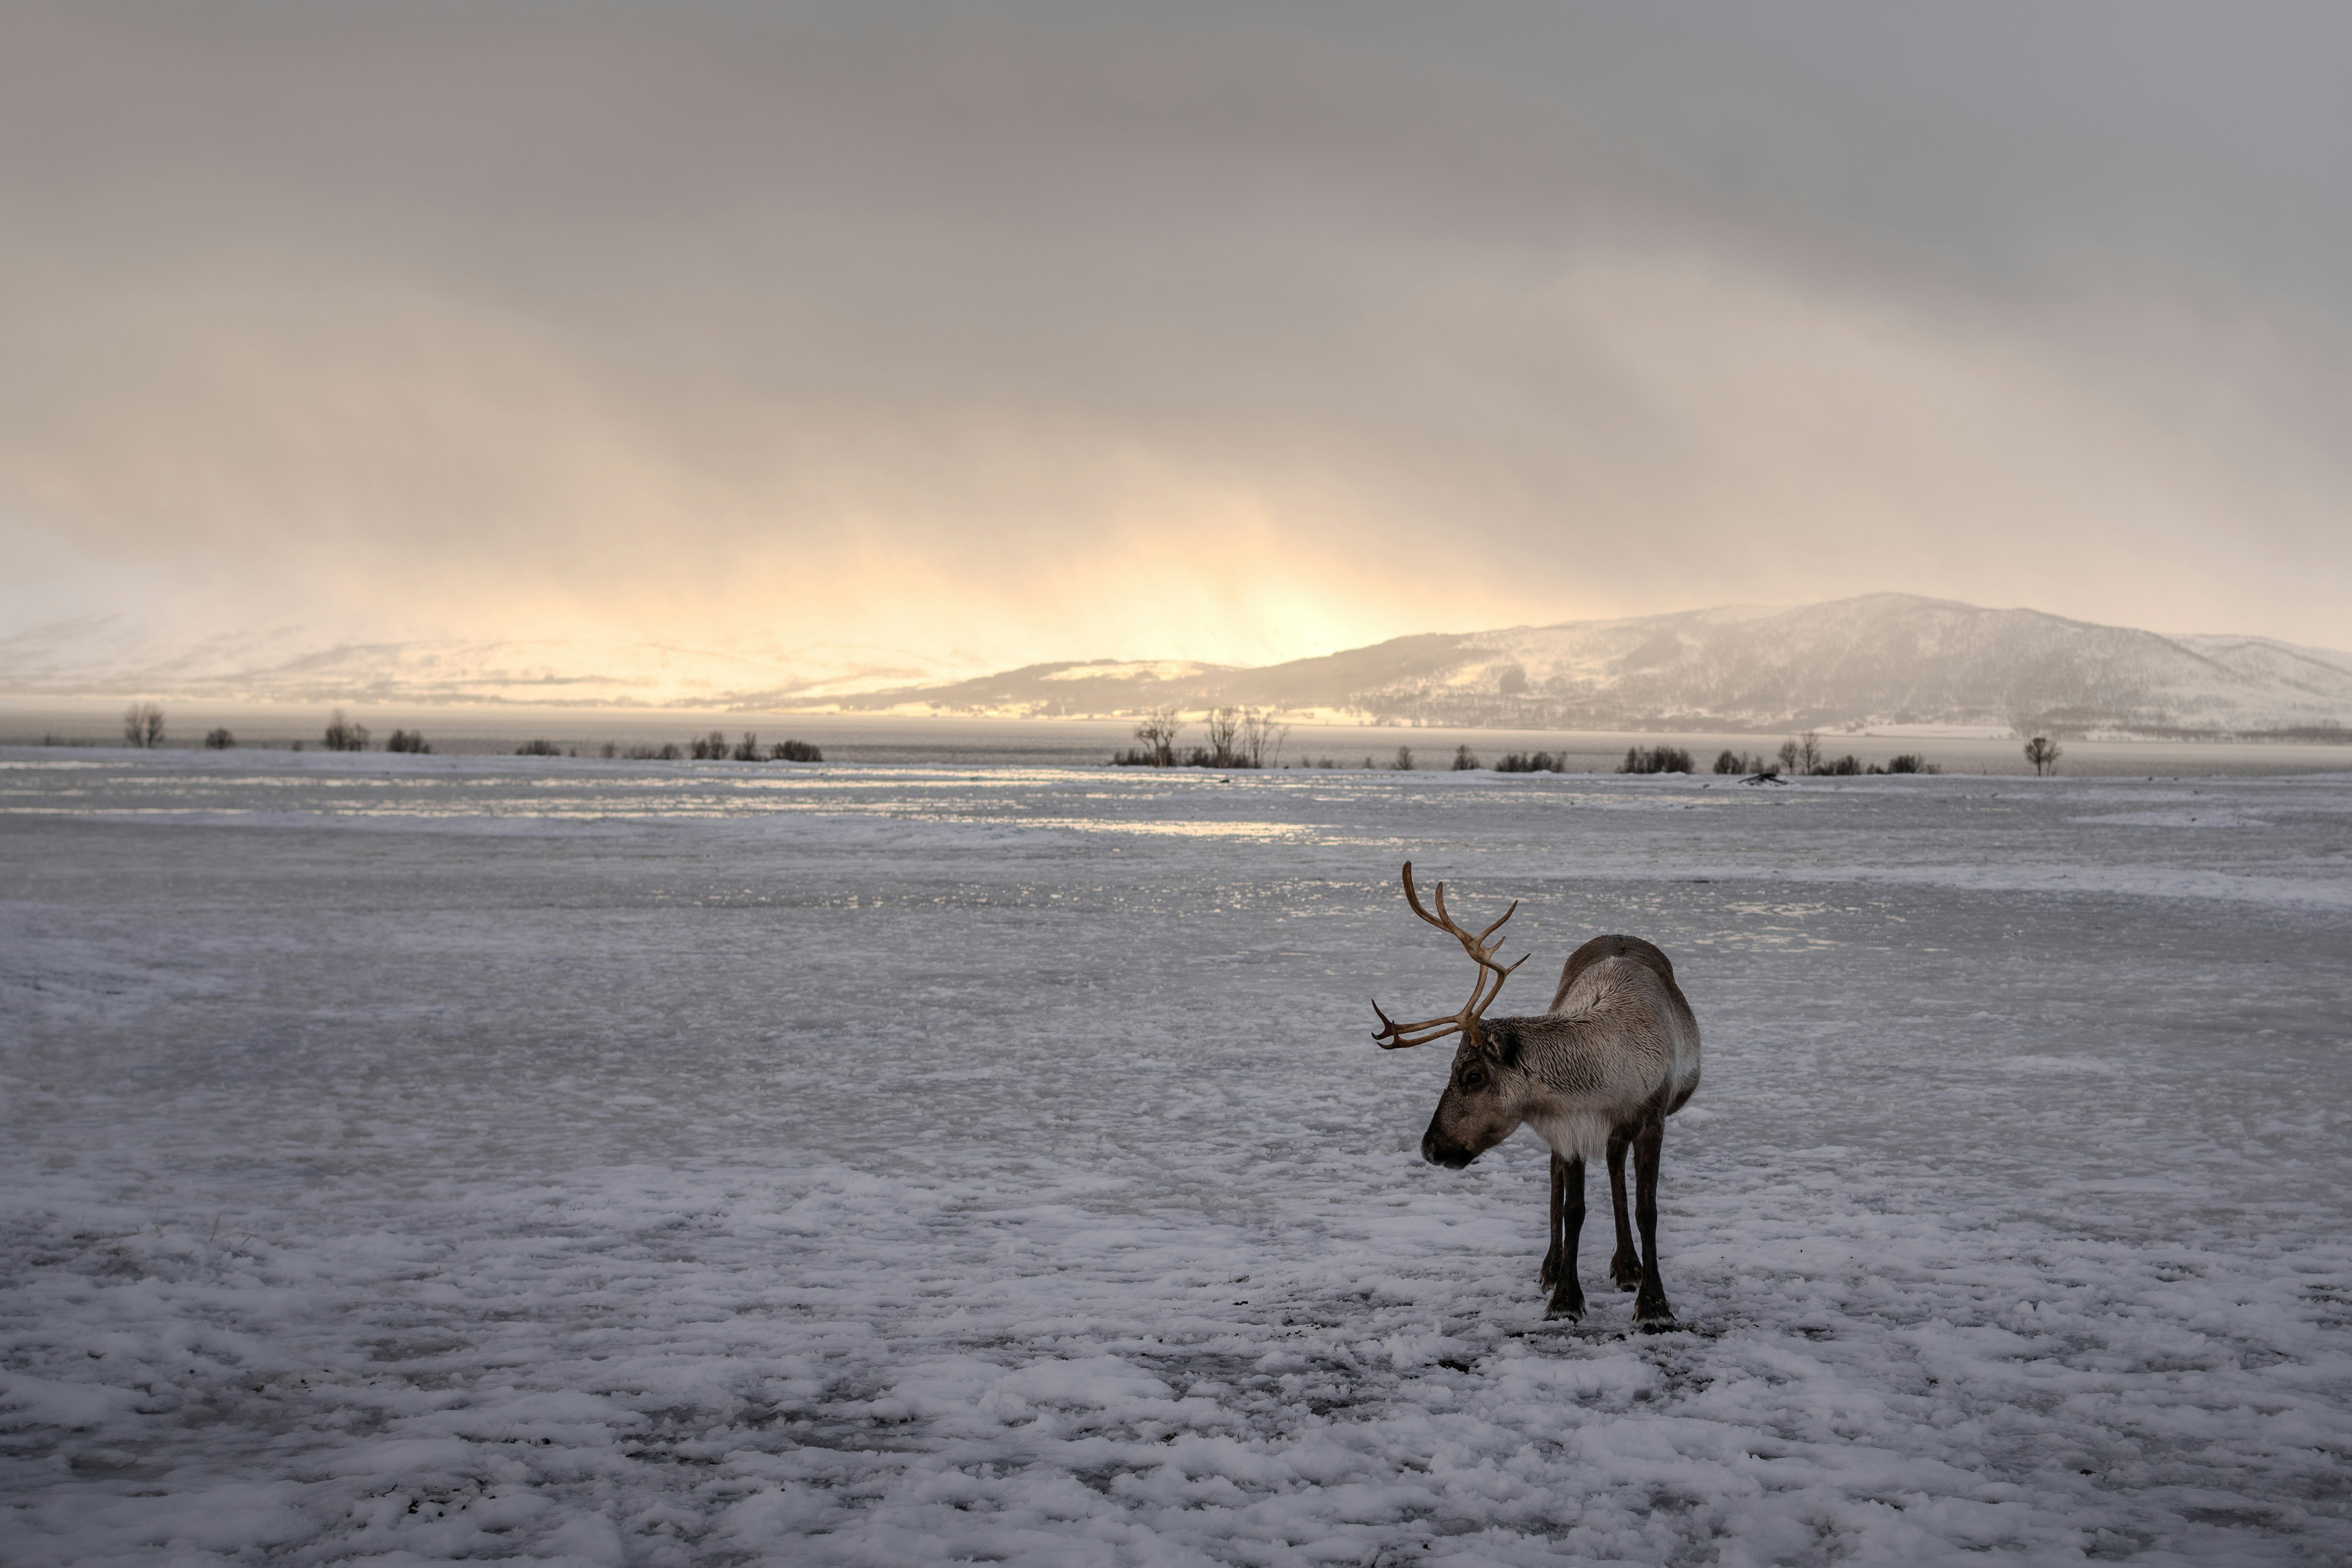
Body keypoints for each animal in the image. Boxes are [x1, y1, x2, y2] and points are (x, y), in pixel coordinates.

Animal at [1371, 862, 1701, 1329]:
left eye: (1473, 1075)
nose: (1430, 1148)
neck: (1609, 1067)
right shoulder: (1570, 1125)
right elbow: (1573, 1208)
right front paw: (1565, 1297)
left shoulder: (1650, 1119)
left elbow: (1647, 1210)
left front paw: (1654, 1305)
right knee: (1560, 1180)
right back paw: (1556, 1266)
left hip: (1622, 1131)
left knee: (1615, 1168)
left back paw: (1627, 1265)